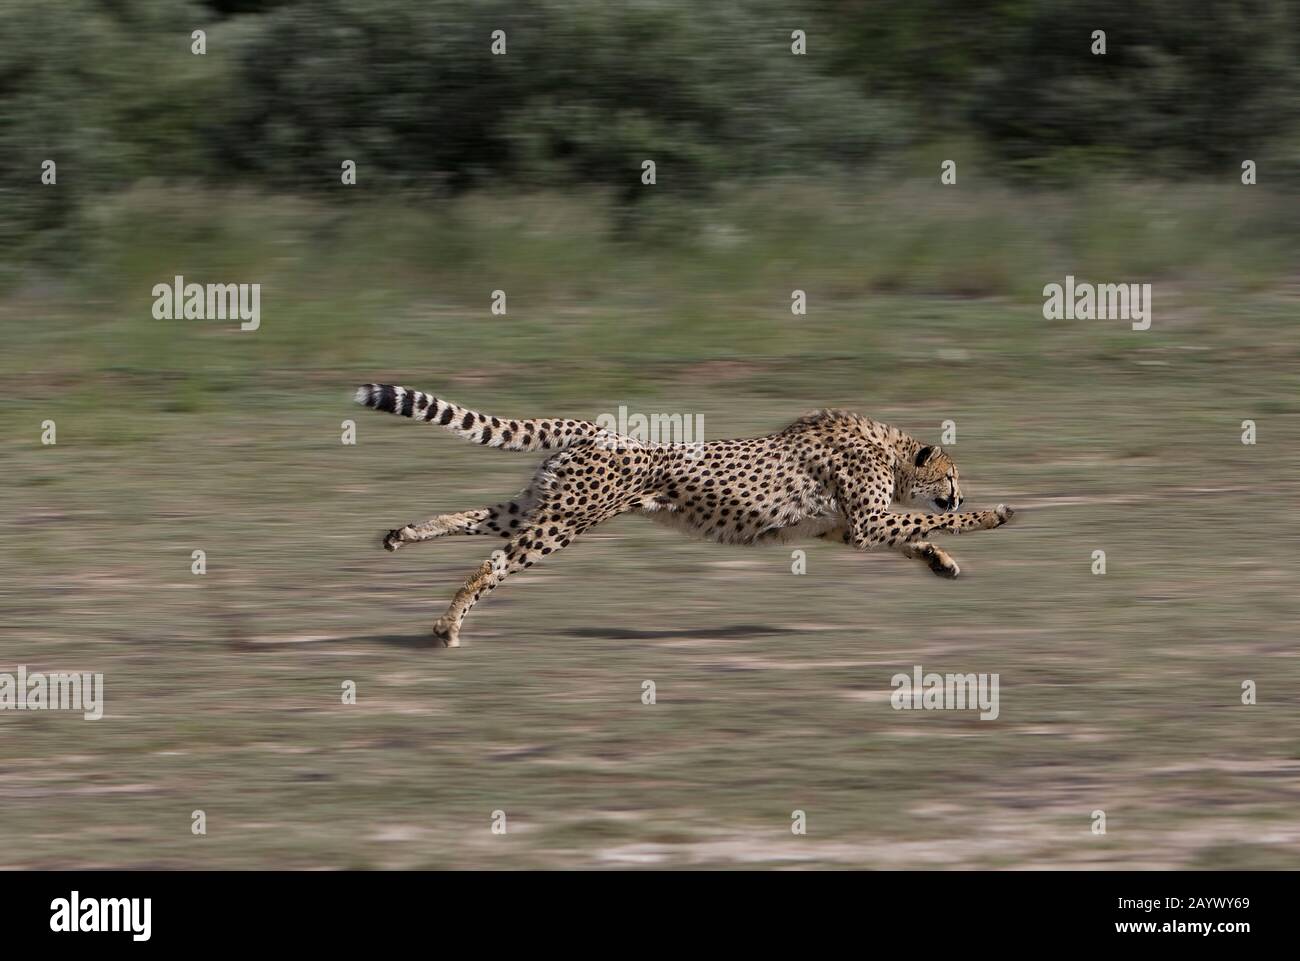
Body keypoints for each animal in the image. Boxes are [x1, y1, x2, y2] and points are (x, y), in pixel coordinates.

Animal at [354, 384, 1016, 647]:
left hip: (539, 506)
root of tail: (598, 430)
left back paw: (402, 535)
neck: (893, 453)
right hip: (562, 523)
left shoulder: (845, 529)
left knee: (473, 517)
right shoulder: (866, 523)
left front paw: (942, 563)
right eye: (952, 479)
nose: (959, 494)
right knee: (492, 563)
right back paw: (448, 625)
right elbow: (924, 524)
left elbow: (915, 537)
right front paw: (993, 515)